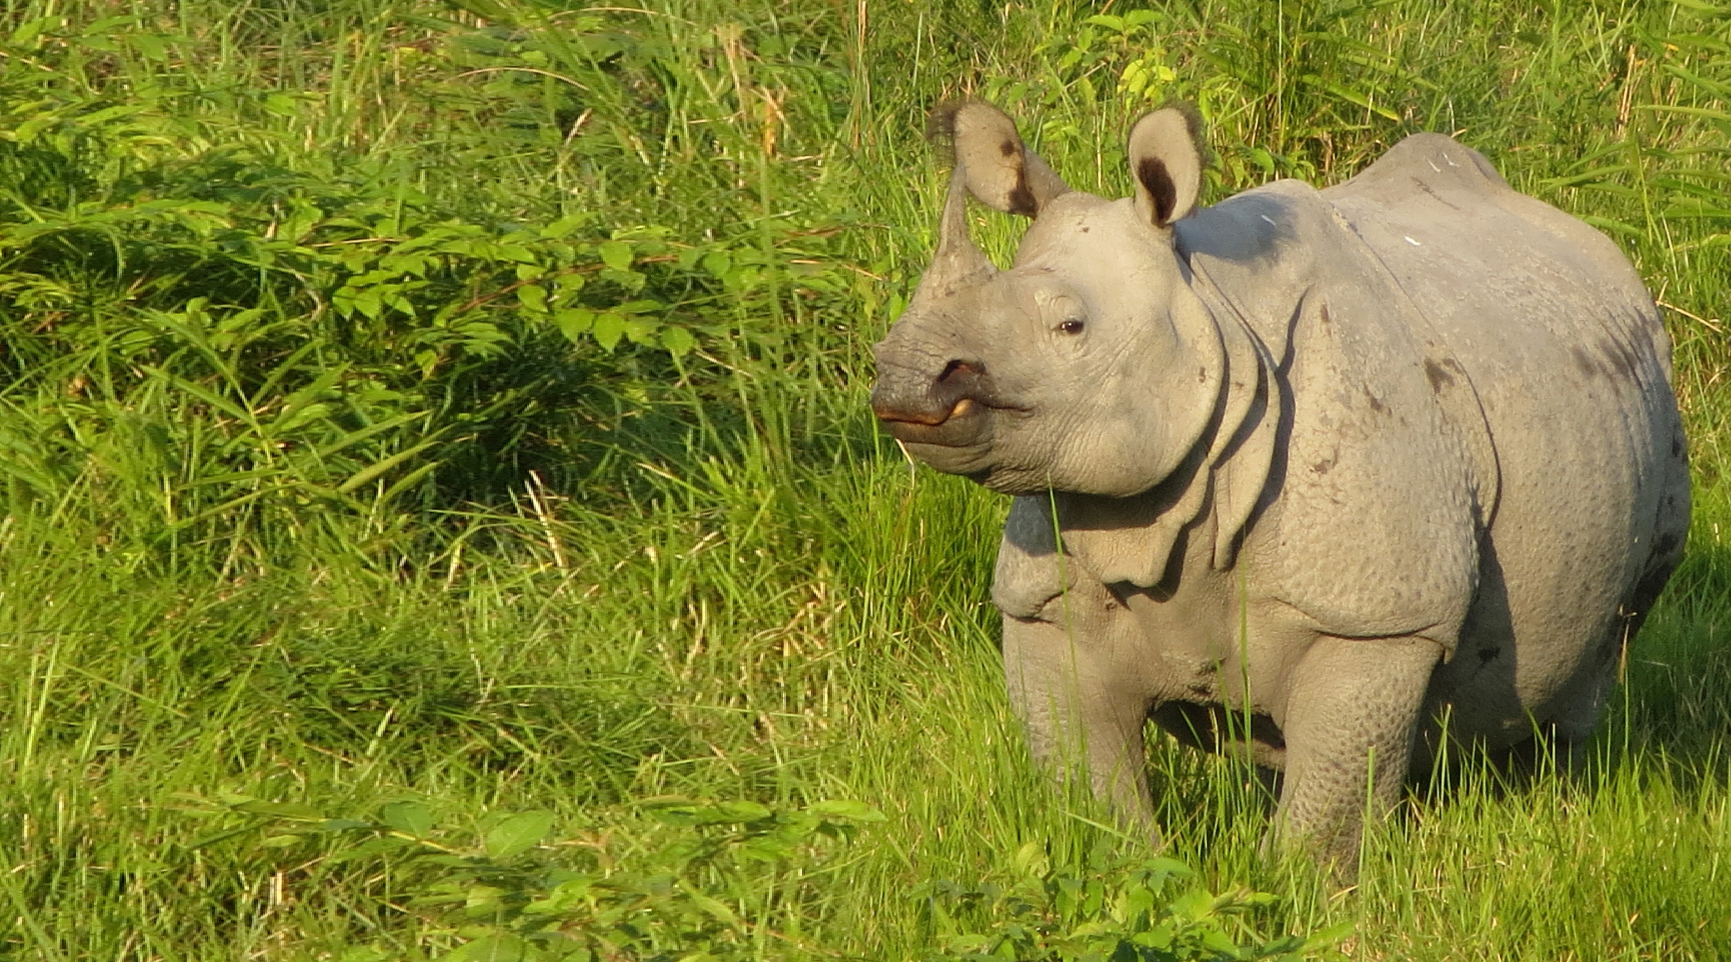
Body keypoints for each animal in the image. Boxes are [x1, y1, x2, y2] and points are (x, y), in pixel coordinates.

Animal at [870, 101, 1690, 871]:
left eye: (1070, 327)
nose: (904, 375)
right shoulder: (1044, 598)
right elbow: (1089, 787)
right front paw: (1125, 868)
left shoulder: (1377, 617)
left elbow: (1329, 803)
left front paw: (1300, 895)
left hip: (1644, 391)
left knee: (1607, 644)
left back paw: (1550, 801)